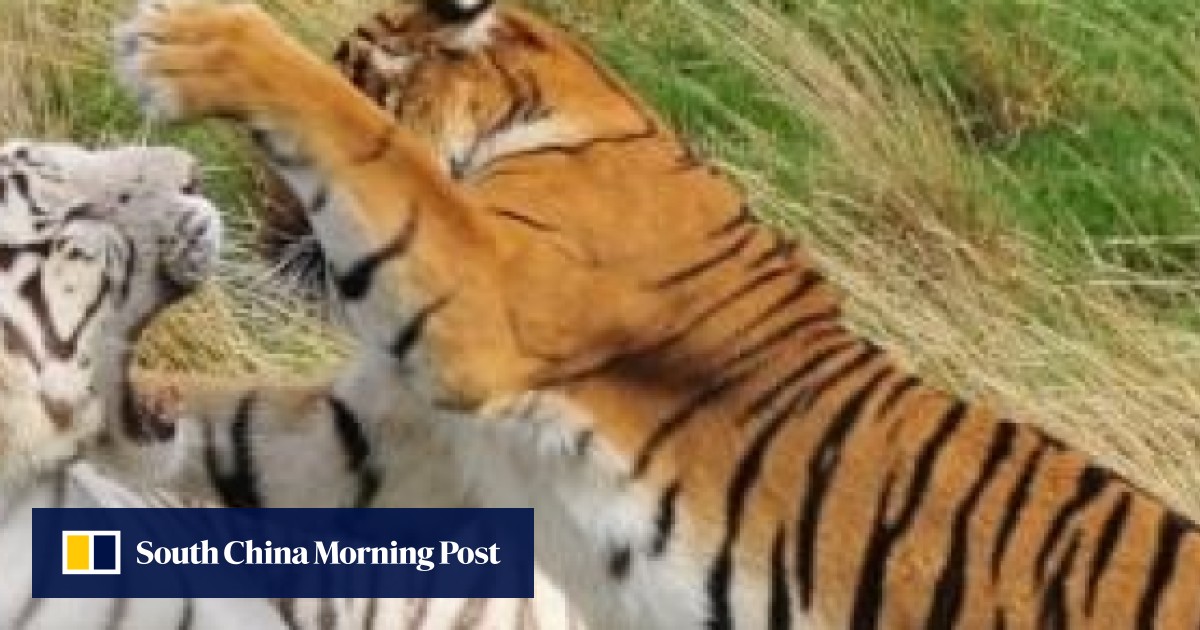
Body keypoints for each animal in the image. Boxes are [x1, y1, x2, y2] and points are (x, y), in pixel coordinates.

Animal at [111, 0, 1200, 628]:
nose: (267, 228)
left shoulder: (486, 298)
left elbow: (366, 142)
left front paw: (191, 41)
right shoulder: (384, 442)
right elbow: (219, 426)